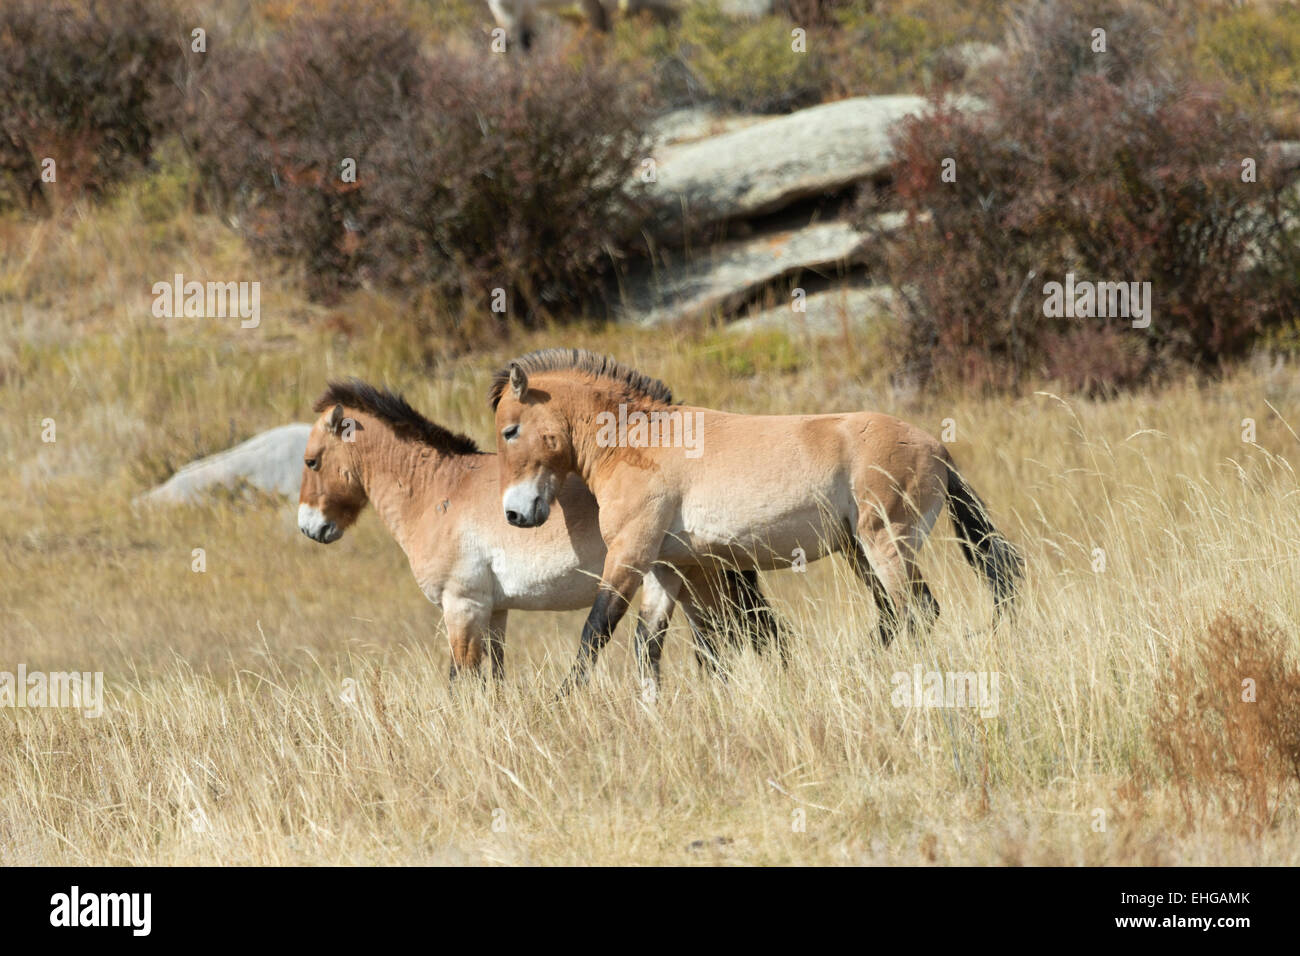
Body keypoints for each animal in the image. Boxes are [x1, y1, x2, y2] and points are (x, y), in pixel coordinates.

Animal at [296, 378, 784, 683]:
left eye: (311, 461)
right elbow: (491, 683)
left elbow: (459, 683)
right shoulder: (493, 613)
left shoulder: (463, 608)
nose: (309, 527)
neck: (441, 491)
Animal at [489, 349, 1024, 693]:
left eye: (511, 430)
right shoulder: (665, 568)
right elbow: (648, 646)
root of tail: (936, 448)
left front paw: (561, 704)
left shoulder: (629, 555)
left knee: (917, 611)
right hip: (860, 550)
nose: (516, 513)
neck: (637, 441)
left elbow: (595, 632)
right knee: (896, 615)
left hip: (885, 542)